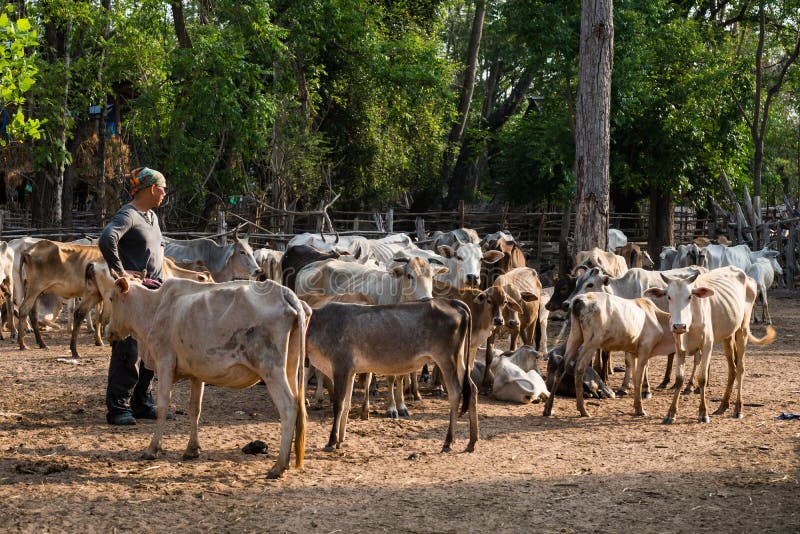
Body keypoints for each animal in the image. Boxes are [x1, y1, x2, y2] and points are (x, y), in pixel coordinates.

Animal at [107, 276, 307, 479]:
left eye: (111, 298)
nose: (108, 330)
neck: (155, 307)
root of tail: (284, 292)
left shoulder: (165, 363)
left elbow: (163, 407)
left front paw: (152, 449)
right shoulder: (197, 373)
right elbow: (195, 409)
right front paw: (192, 449)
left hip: (271, 369)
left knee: (288, 407)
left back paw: (278, 466)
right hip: (290, 367)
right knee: (297, 403)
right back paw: (286, 462)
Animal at [305, 298, 477, 453]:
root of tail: (452, 302)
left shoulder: (340, 367)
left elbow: (339, 405)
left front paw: (332, 441)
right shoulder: (350, 372)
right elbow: (347, 404)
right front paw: (341, 439)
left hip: (446, 359)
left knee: (456, 392)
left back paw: (448, 442)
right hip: (459, 359)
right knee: (472, 389)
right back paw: (472, 442)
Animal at [643, 267, 776, 423]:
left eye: (690, 296)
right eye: (669, 296)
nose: (679, 326)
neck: (691, 321)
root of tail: (745, 275)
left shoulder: (707, 345)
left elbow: (702, 378)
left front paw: (703, 413)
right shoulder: (679, 347)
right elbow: (679, 379)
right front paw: (671, 413)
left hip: (742, 329)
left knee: (740, 368)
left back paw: (738, 409)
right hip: (727, 336)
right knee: (732, 369)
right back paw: (723, 406)